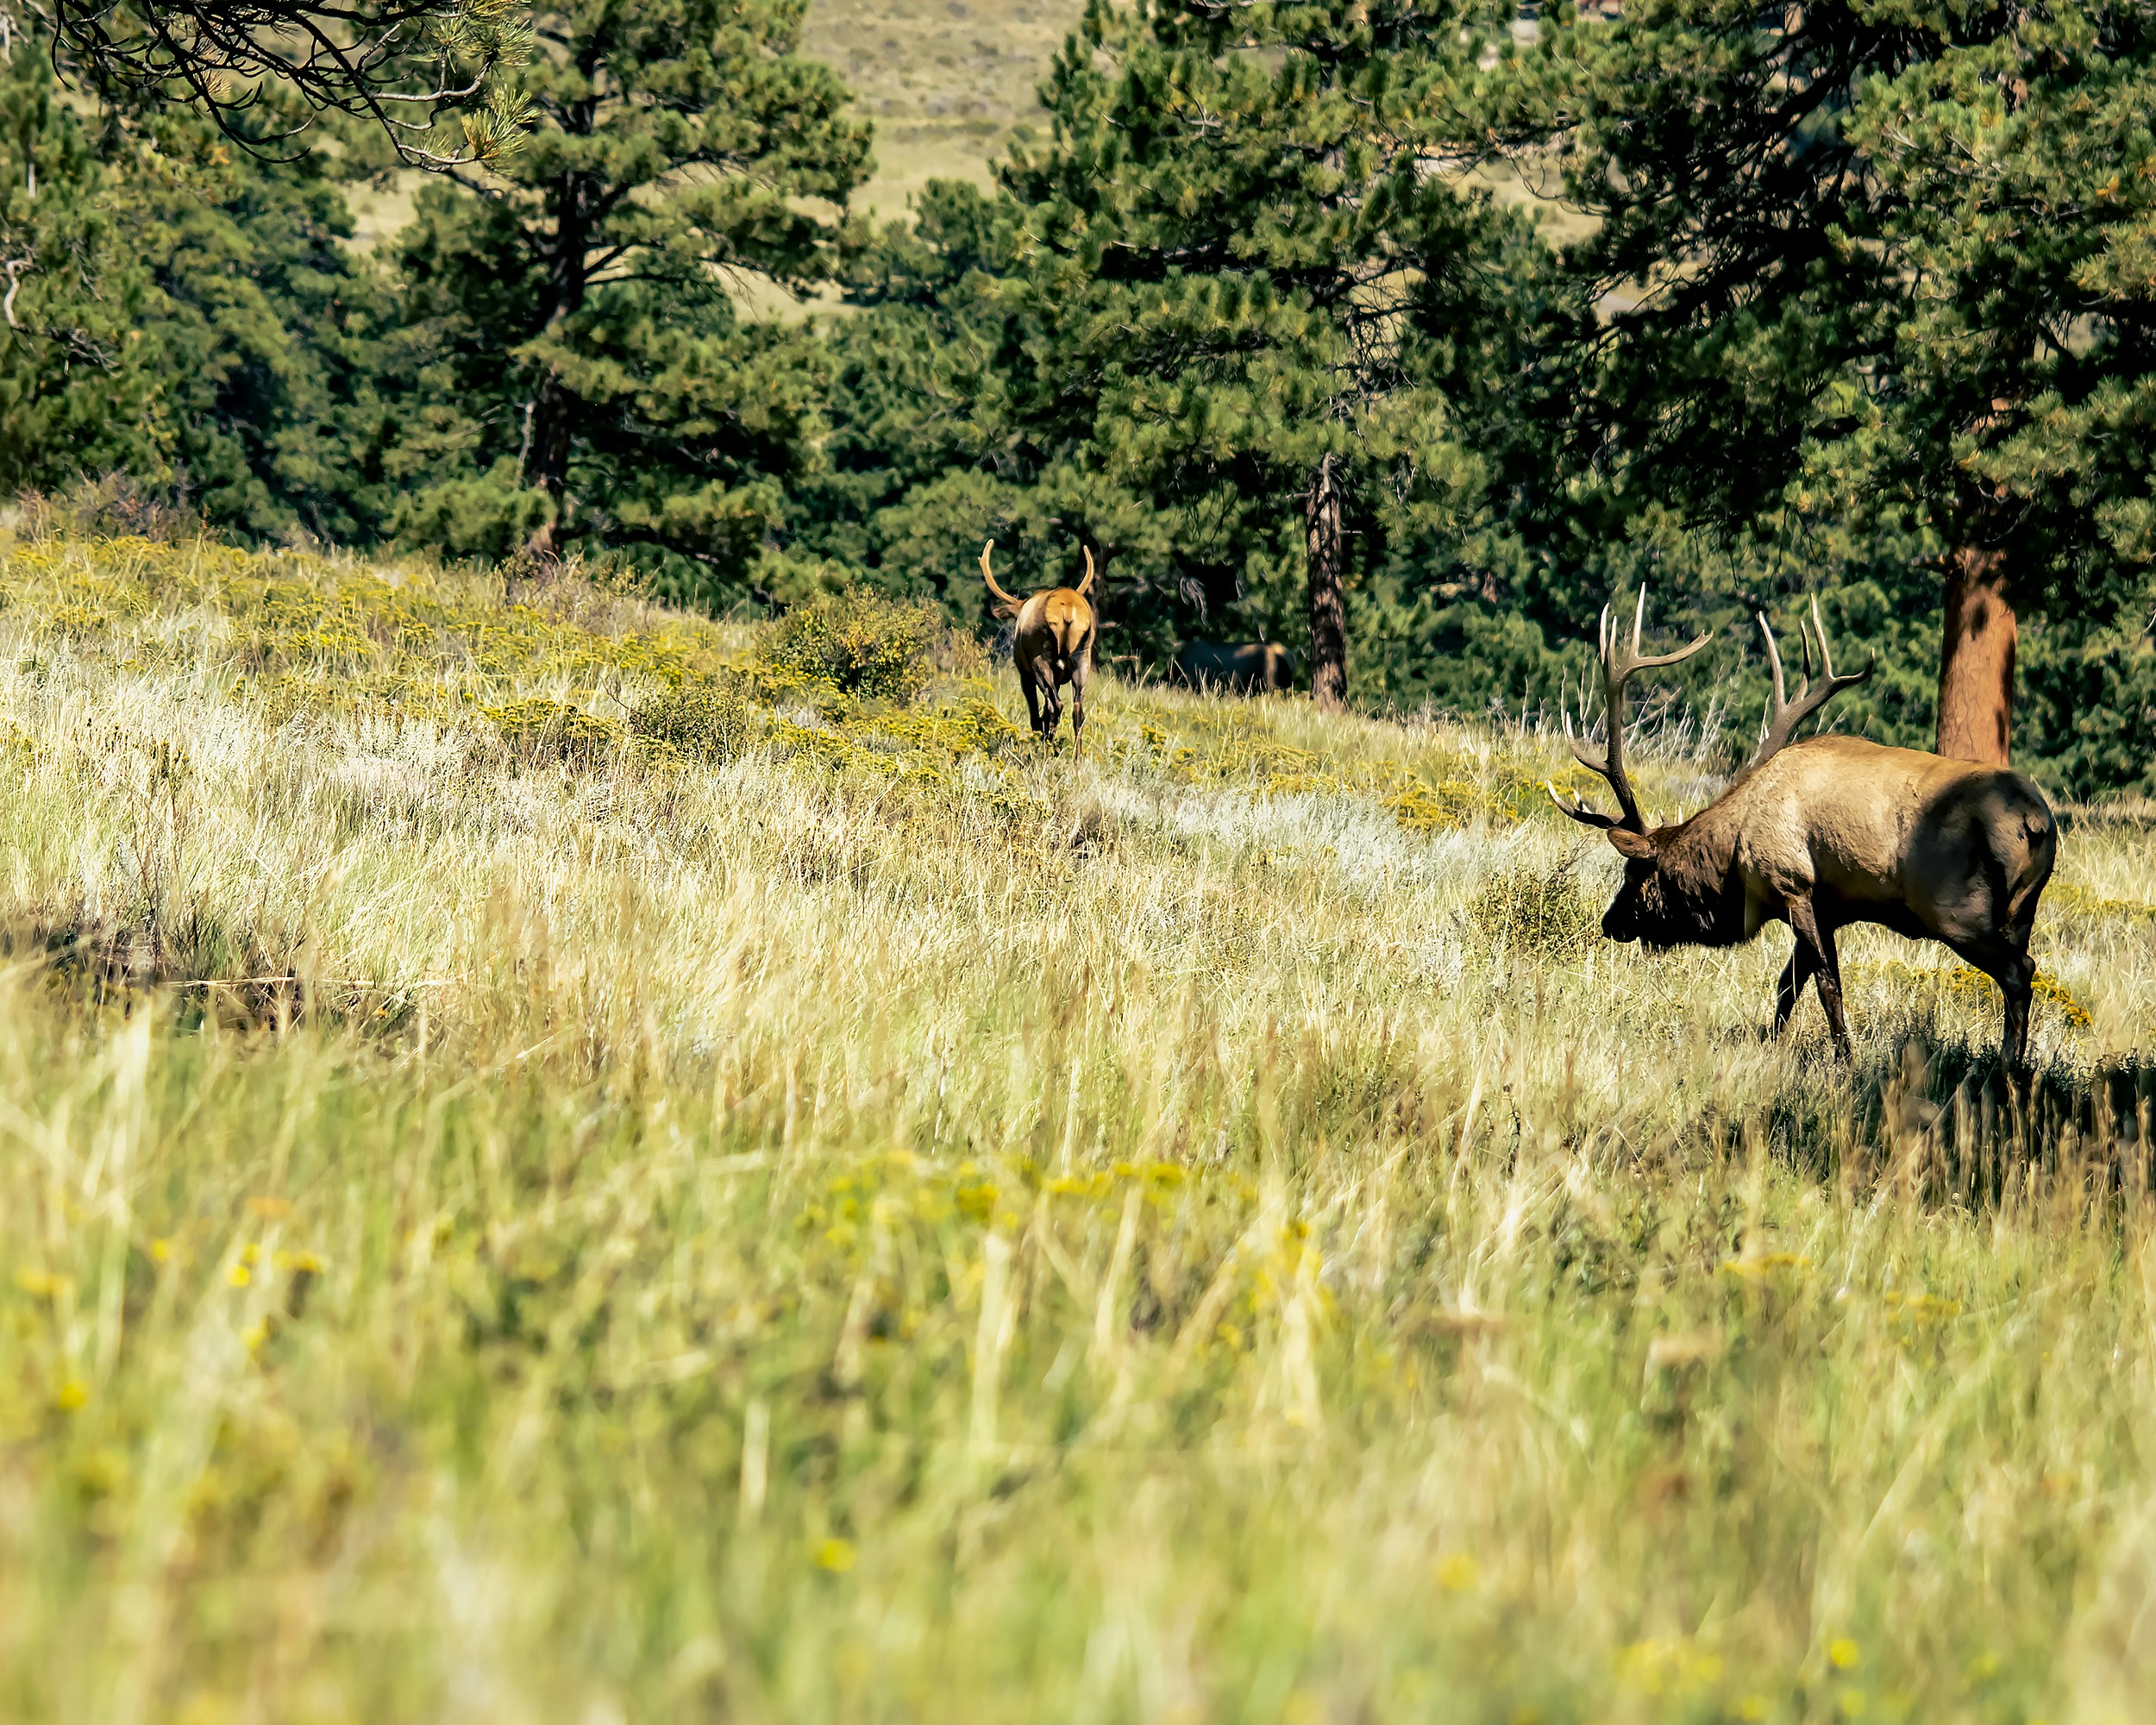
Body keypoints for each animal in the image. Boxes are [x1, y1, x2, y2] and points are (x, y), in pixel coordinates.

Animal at [981, 540, 1096, 757]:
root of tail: (1068, 610)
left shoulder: (1024, 673)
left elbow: (1035, 713)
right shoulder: (1059, 677)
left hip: (1039, 658)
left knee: (1055, 705)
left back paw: (1046, 747)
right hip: (1083, 657)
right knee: (1077, 708)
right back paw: (1077, 757)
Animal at [1547, 590, 2058, 1066]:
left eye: (1634, 873)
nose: (1609, 923)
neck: (1735, 864)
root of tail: (2036, 821)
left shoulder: (1792, 885)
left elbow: (1826, 984)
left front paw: (1844, 1060)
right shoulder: (1830, 905)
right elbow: (1788, 985)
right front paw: (1770, 1044)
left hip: (1955, 910)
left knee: (2020, 971)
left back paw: (2006, 1068)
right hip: (2023, 910)